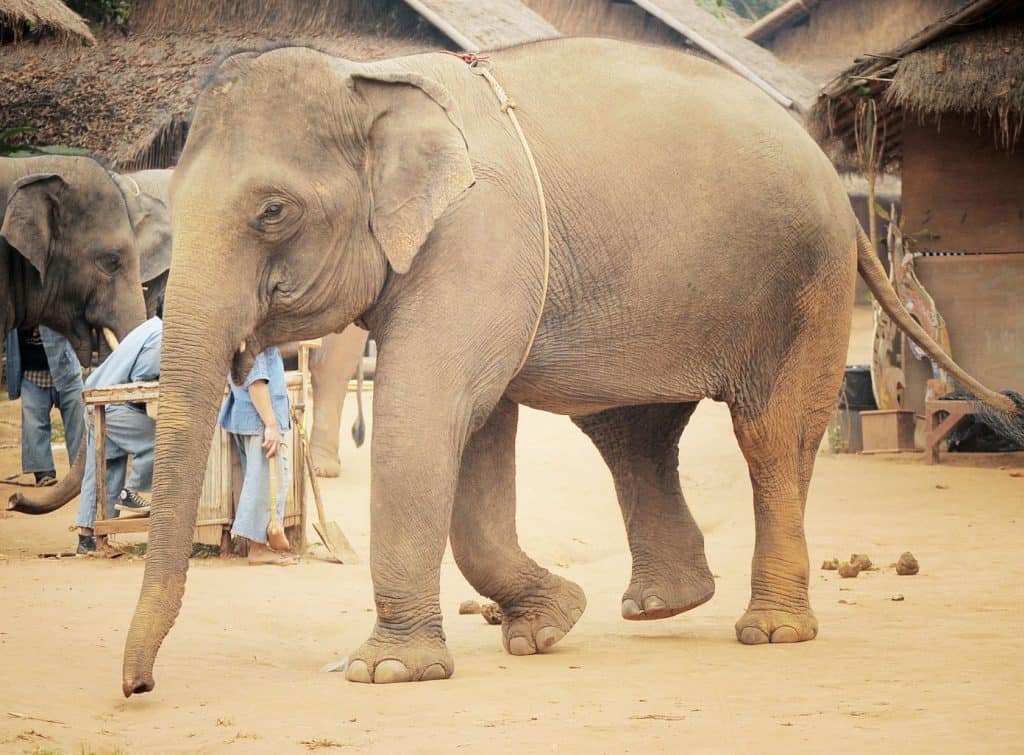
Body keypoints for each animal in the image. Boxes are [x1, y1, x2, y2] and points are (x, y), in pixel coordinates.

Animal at [121, 38, 1019, 695]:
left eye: (273, 211)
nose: (138, 688)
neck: (370, 76)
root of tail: (844, 186)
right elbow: (474, 429)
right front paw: (551, 621)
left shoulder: (477, 239)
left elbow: (428, 412)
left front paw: (388, 670)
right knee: (631, 434)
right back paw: (660, 605)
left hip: (808, 283)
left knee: (770, 438)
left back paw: (769, 630)